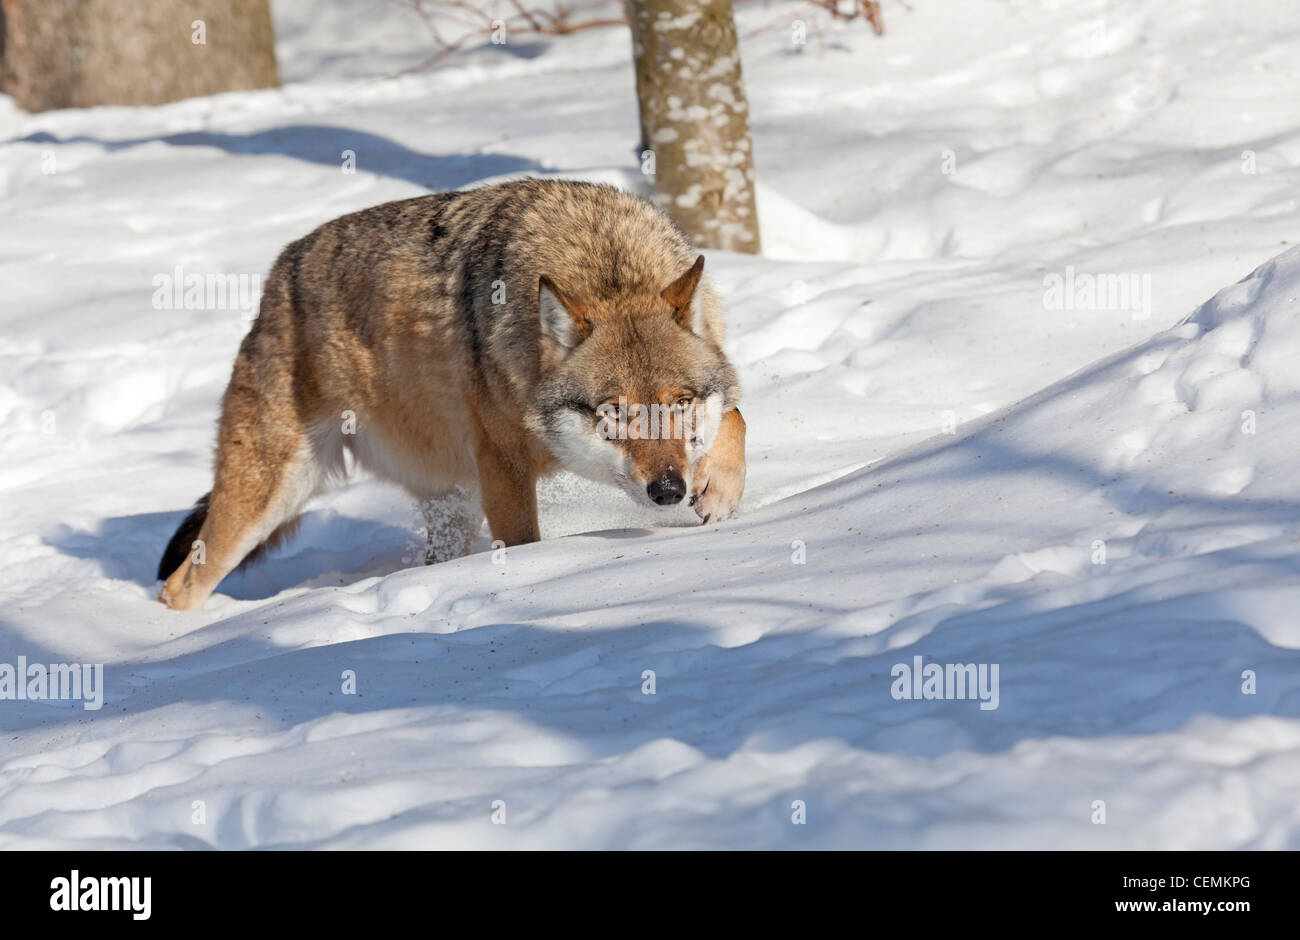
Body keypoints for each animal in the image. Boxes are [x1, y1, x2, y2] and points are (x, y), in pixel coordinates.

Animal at [156, 179, 747, 610]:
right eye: (614, 413)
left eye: (680, 404)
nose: (668, 490)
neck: (601, 259)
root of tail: (278, 273)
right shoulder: (503, 467)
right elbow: (525, 546)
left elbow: (735, 417)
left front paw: (720, 491)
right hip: (271, 496)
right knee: (179, 585)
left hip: (449, 502)